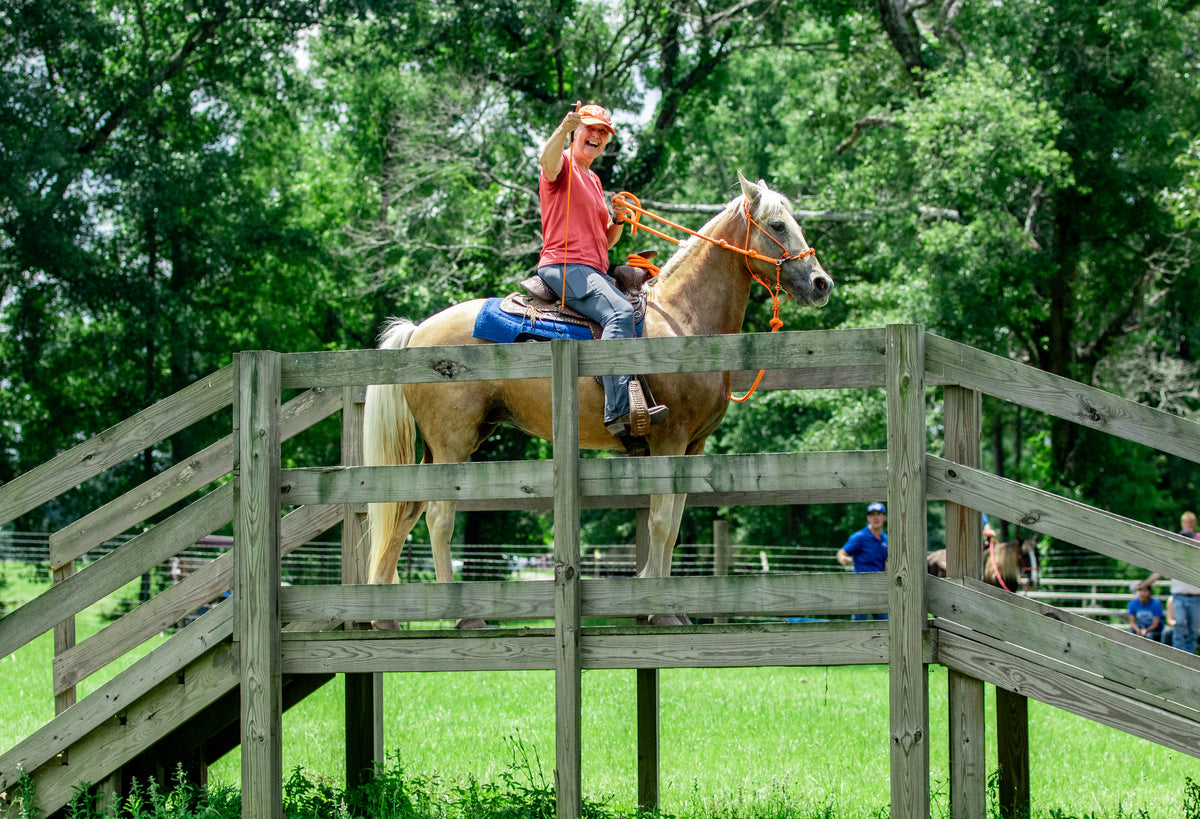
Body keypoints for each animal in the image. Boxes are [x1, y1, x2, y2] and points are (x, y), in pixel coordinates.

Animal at [364, 172, 834, 627]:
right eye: (778, 225)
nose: (821, 283)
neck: (681, 319)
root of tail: (418, 333)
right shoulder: (668, 442)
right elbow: (661, 523)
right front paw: (660, 610)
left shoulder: (692, 447)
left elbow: (674, 525)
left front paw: (671, 607)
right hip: (452, 444)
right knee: (438, 517)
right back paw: (462, 616)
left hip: (446, 446)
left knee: (405, 510)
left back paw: (385, 617)